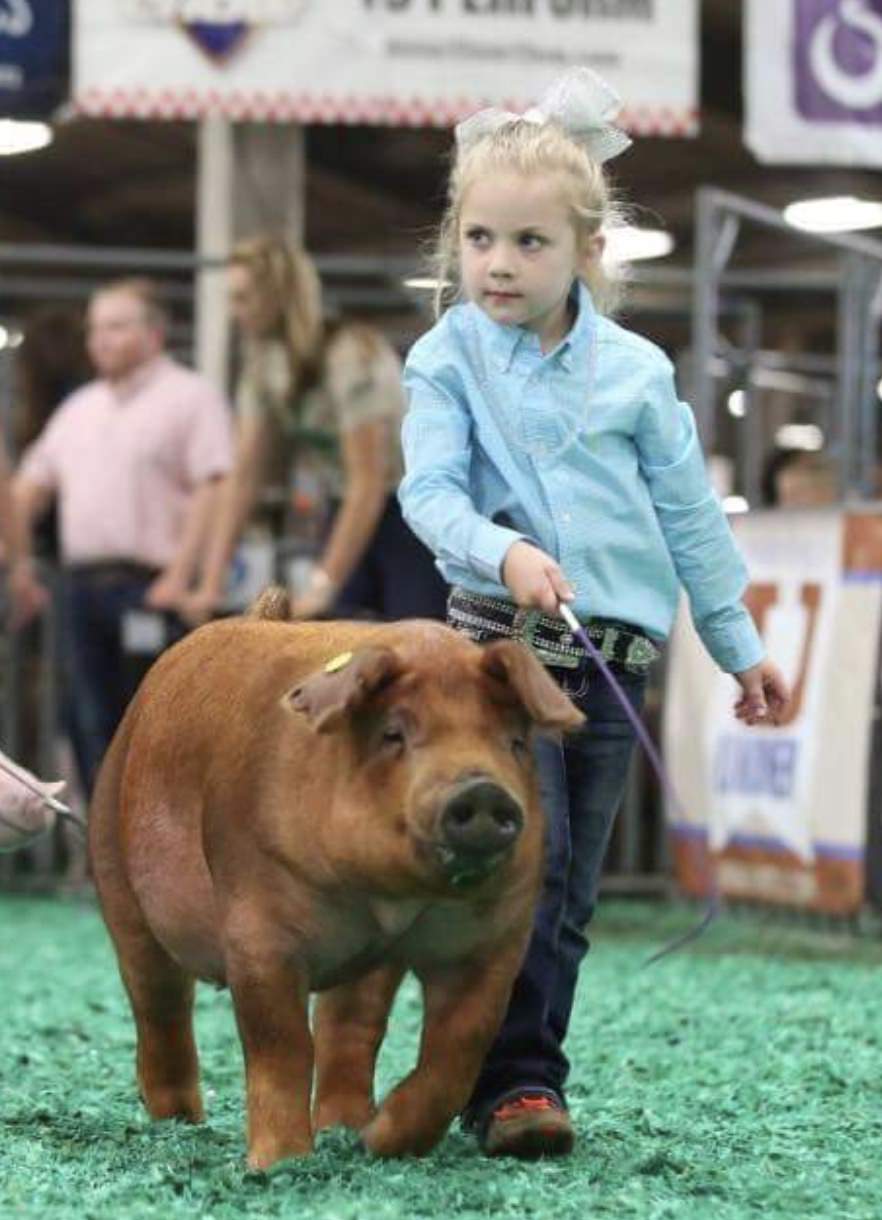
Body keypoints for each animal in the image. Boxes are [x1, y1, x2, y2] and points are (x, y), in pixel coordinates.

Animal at [88, 587, 583, 1169]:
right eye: (393, 734)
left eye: (514, 743)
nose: (481, 790)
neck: (391, 899)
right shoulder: (257, 924)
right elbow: (280, 1044)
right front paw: (280, 1165)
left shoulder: (492, 937)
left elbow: (458, 1048)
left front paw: (380, 1144)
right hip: (115, 870)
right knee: (158, 1001)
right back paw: (180, 1120)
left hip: (367, 966)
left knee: (349, 1026)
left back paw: (347, 1128)